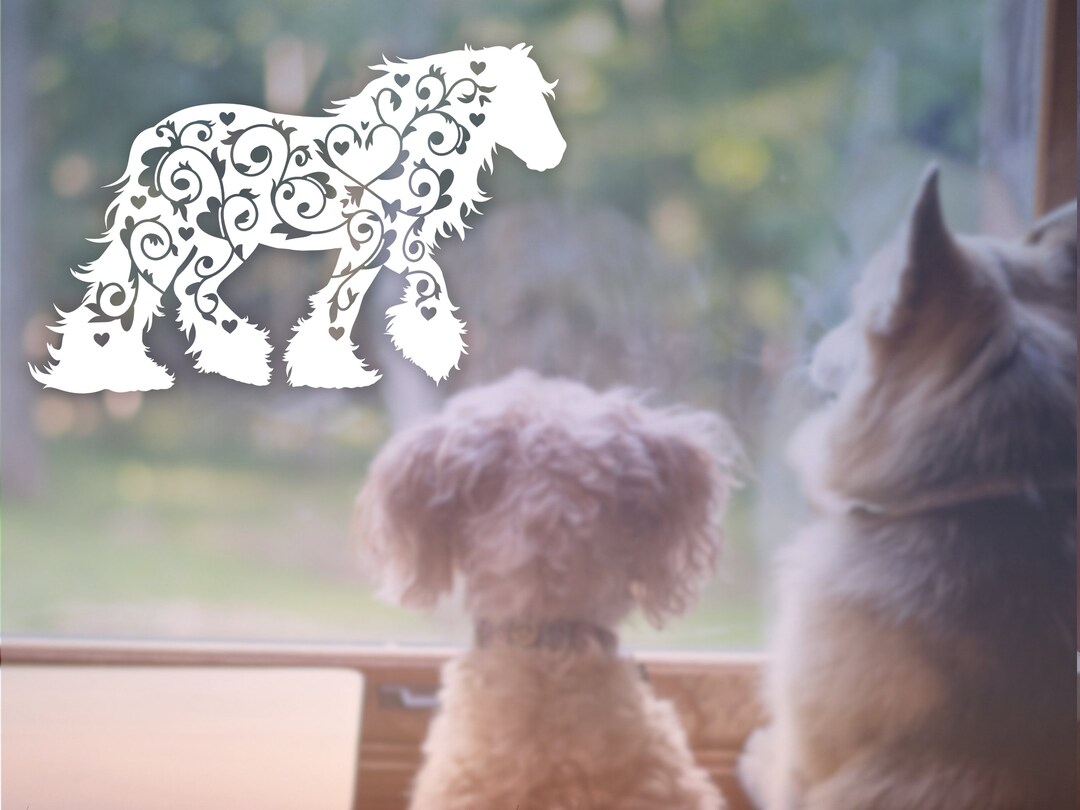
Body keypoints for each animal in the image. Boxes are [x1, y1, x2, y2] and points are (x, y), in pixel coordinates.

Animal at [31, 44, 565, 392]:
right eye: (522, 100)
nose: (555, 153)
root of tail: (154, 138)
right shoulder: (377, 240)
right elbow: (363, 300)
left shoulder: (388, 245)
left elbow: (391, 291)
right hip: (199, 236)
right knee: (157, 293)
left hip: (204, 239)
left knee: (170, 292)